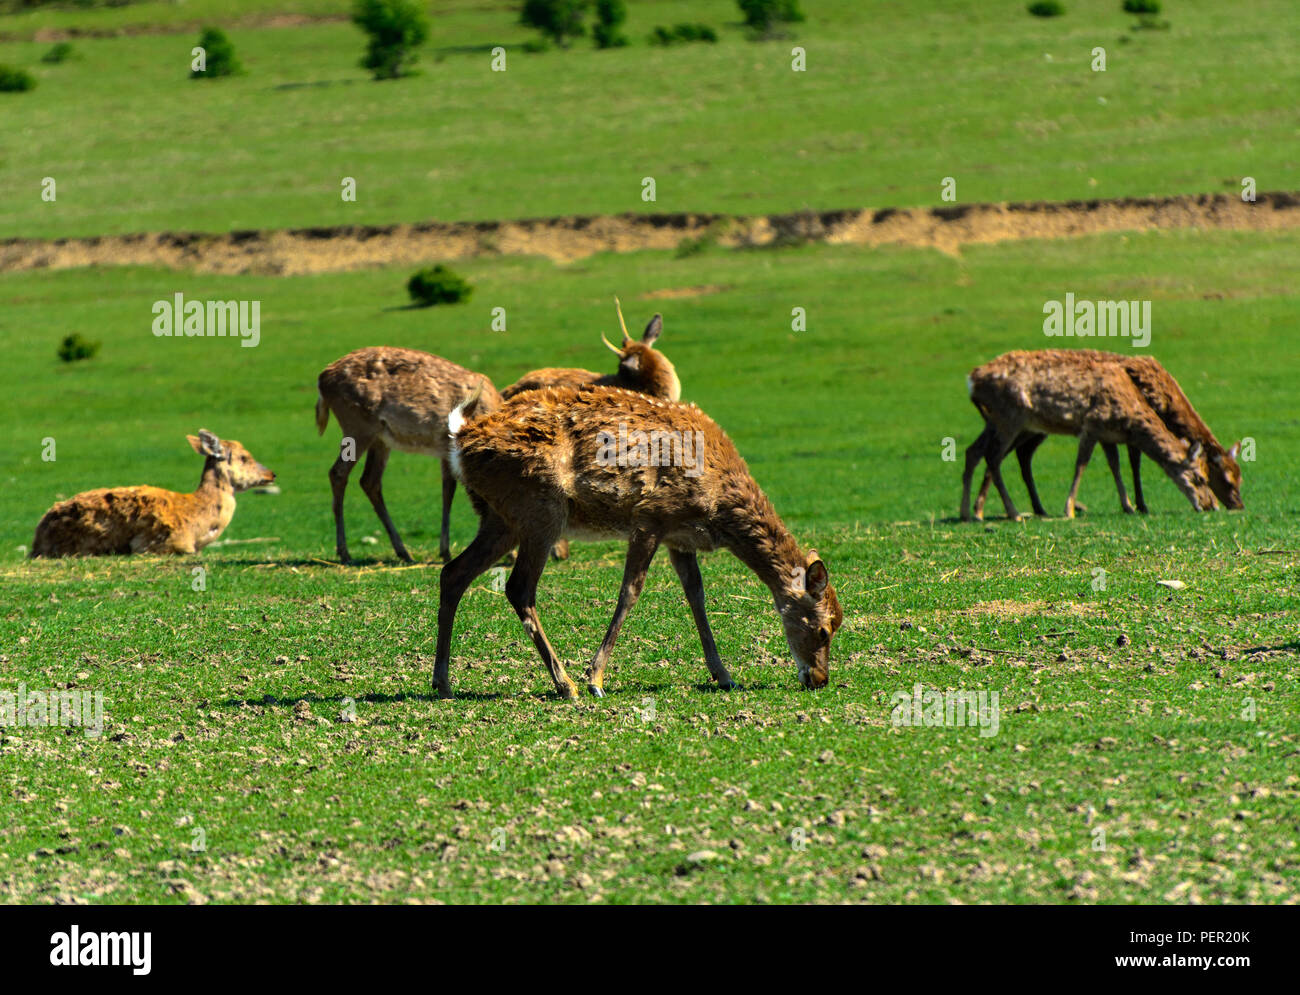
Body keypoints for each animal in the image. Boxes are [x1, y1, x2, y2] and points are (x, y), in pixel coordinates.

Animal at [316, 347, 500, 565]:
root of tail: (322, 379)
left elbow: (448, 490)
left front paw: (445, 550)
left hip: (380, 438)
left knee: (369, 480)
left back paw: (402, 551)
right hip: (357, 425)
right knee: (338, 473)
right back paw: (344, 552)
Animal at [434, 384, 843, 700]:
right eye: (824, 628)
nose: (819, 679)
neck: (718, 502)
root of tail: (460, 439)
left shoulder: (681, 537)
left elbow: (696, 596)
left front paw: (724, 675)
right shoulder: (651, 516)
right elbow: (630, 591)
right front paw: (595, 679)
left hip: (500, 517)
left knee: (453, 572)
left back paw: (443, 682)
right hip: (540, 507)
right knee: (518, 587)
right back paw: (566, 685)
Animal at [968, 352, 1242, 518]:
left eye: (1240, 478)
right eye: (1224, 480)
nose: (1232, 505)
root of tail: (972, 378)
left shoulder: (1112, 434)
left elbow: (1116, 465)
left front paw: (1131, 505)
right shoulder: (1103, 429)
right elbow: (1125, 463)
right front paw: (1139, 505)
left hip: (1022, 427)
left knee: (988, 452)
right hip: (1016, 423)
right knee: (997, 455)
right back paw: (999, 512)